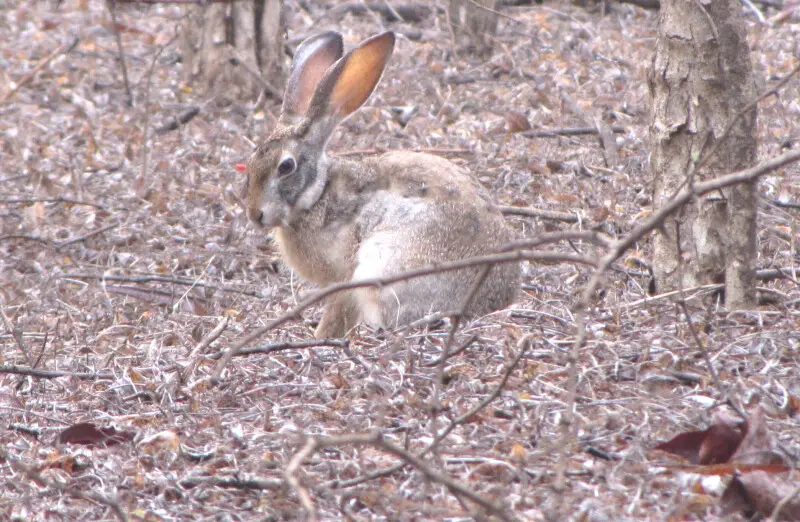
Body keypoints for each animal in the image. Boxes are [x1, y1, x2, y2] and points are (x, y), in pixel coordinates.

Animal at [245, 31, 520, 339]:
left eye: (286, 167)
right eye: (252, 160)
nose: (255, 214)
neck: (317, 195)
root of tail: (494, 299)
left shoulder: (344, 277)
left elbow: (338, 311)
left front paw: (321, 338)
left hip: (381, 267)